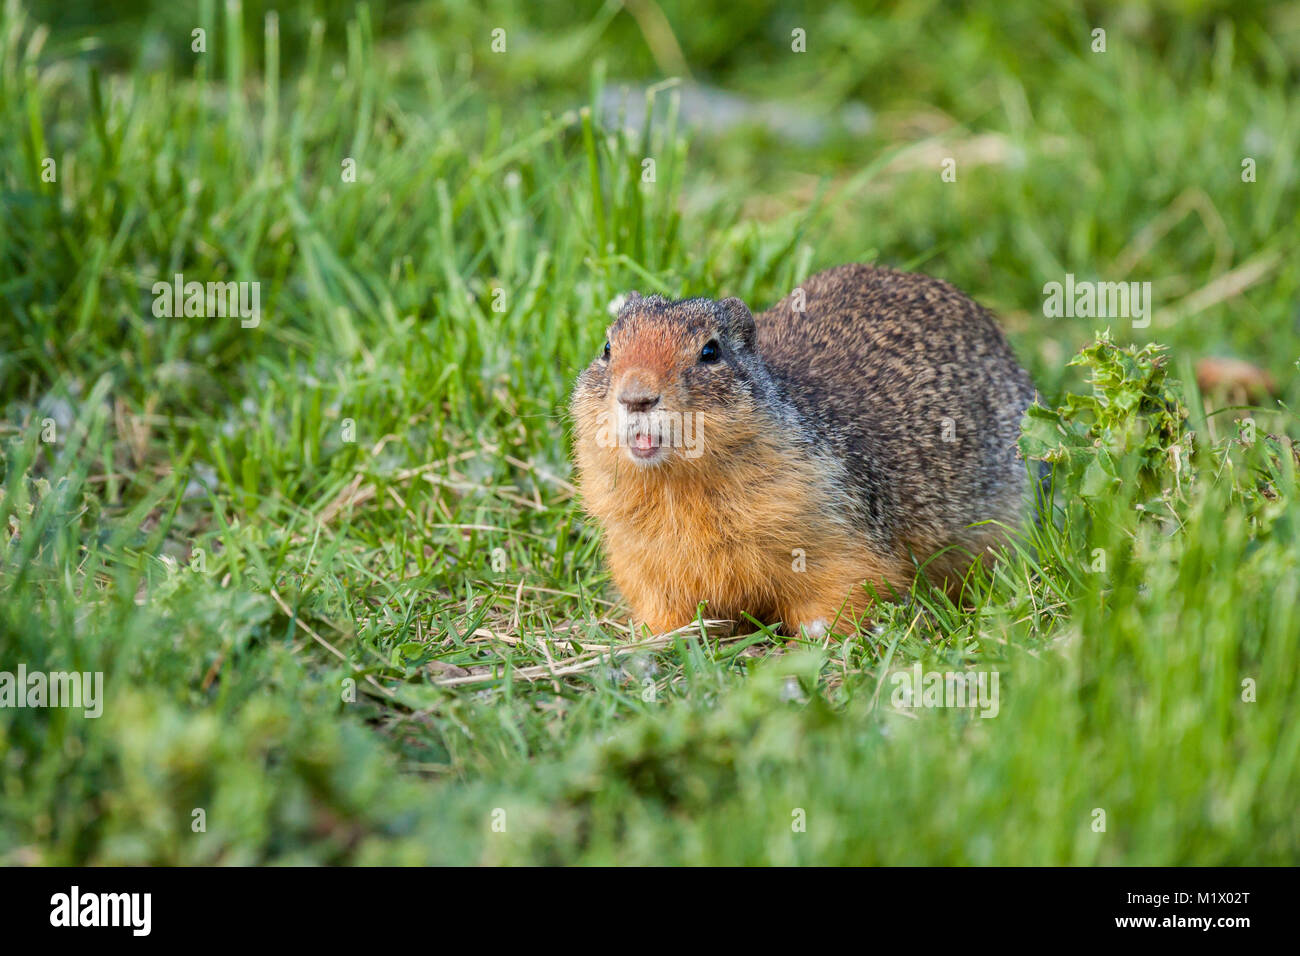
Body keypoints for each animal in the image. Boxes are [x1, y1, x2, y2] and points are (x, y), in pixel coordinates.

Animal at [570, 263, 1038, 638]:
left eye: (710, 351)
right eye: (607, 348)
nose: (636, 397)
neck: (675, 486)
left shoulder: (835, 534)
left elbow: (844, 592)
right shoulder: (638, 558)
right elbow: (663, 608)